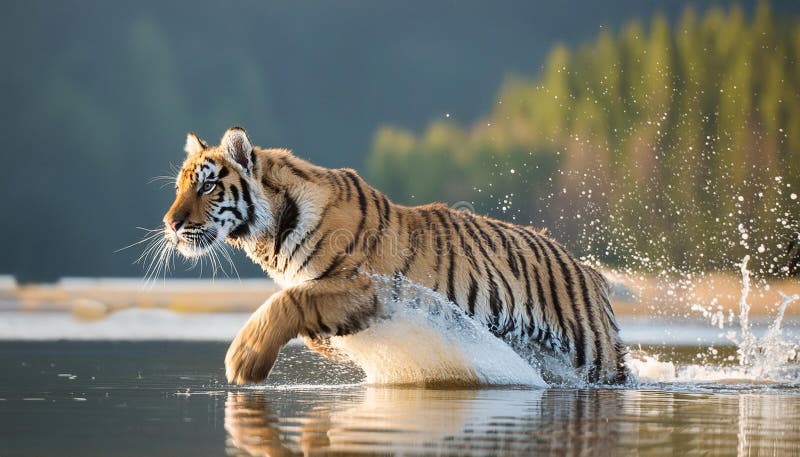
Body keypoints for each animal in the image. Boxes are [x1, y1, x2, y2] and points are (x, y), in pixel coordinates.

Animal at [161, 127, 628, 385]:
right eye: (180, 186)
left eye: (207, 185)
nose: (170, 223)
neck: (271, 237)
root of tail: (590, 271)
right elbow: (311, 326)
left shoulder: (365, 286)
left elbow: (287, 301)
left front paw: (245, 361)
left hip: (595, 357)